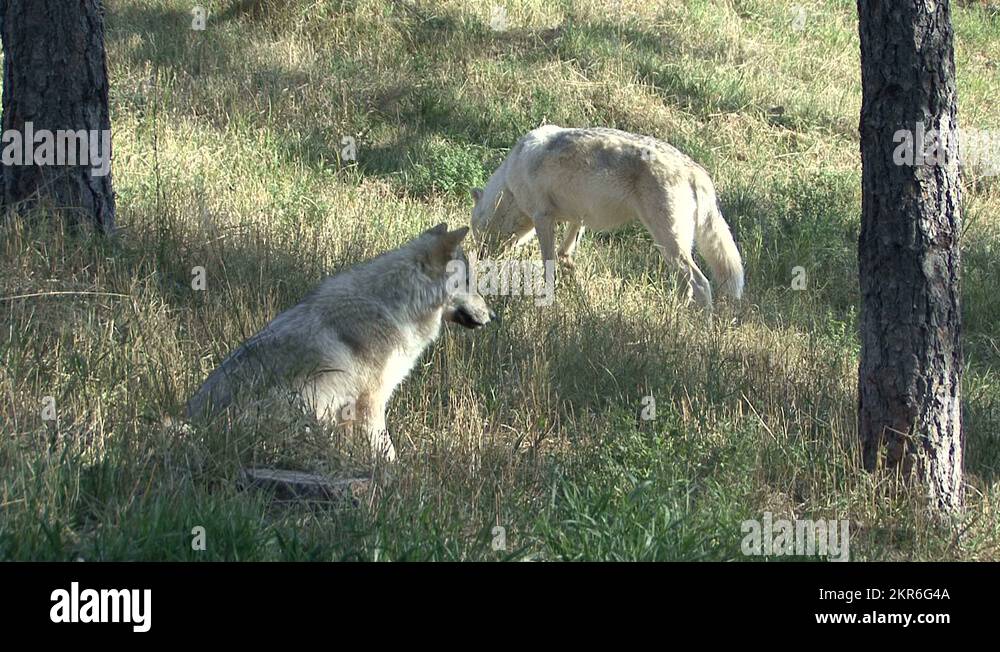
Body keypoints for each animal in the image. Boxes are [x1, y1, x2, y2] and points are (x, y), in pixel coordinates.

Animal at [185, 224, 493, 462]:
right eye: (469, 281)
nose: (494, 315)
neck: (395, 307)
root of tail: (196, 425)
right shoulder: (371, 403)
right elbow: (387, 451)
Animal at [470, 125, 744, 307]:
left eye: (476, 232)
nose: (480, 258)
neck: (510, 183)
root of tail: (695, 170)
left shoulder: (543, 218)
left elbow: (549, 262)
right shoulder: (577, 217)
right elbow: (564, 253)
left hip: (670, 245)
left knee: (702, 285)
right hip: (669, 250)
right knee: (686, 285)